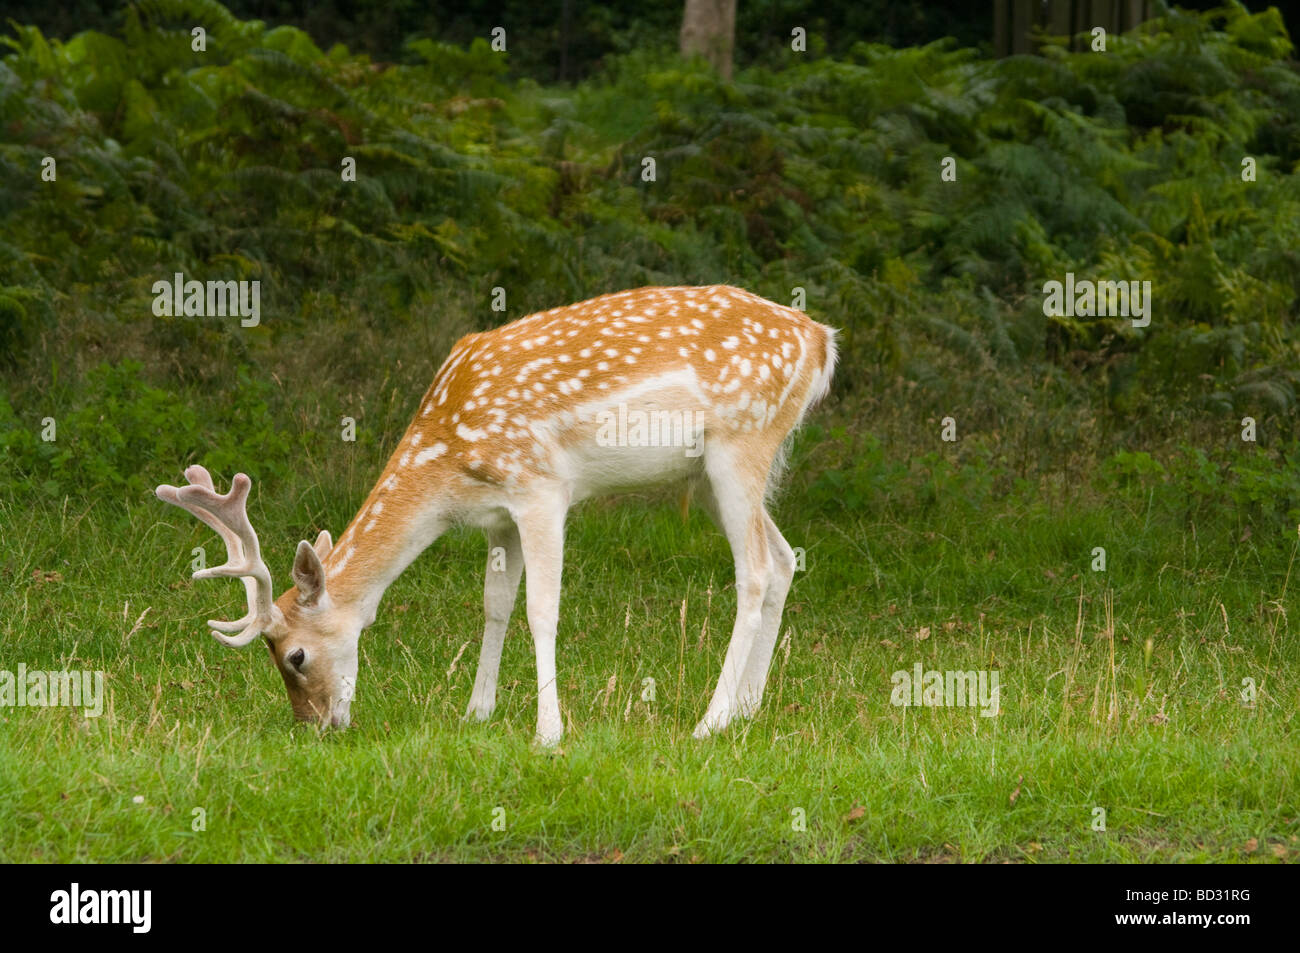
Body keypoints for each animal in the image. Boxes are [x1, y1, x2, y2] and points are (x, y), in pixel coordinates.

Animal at [156, 285, 837, 744]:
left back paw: (709, 721)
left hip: (741, 442)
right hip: (723, 470)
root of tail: (821, 341)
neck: (448, 463)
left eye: (294, 656)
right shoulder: (498, 514)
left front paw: (549, 732)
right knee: (783, 559)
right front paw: (475, 712)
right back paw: (747, 710)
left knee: (754, 571)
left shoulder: (541, 487)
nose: (316, 724)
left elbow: (542, 608)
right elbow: (494, 604)